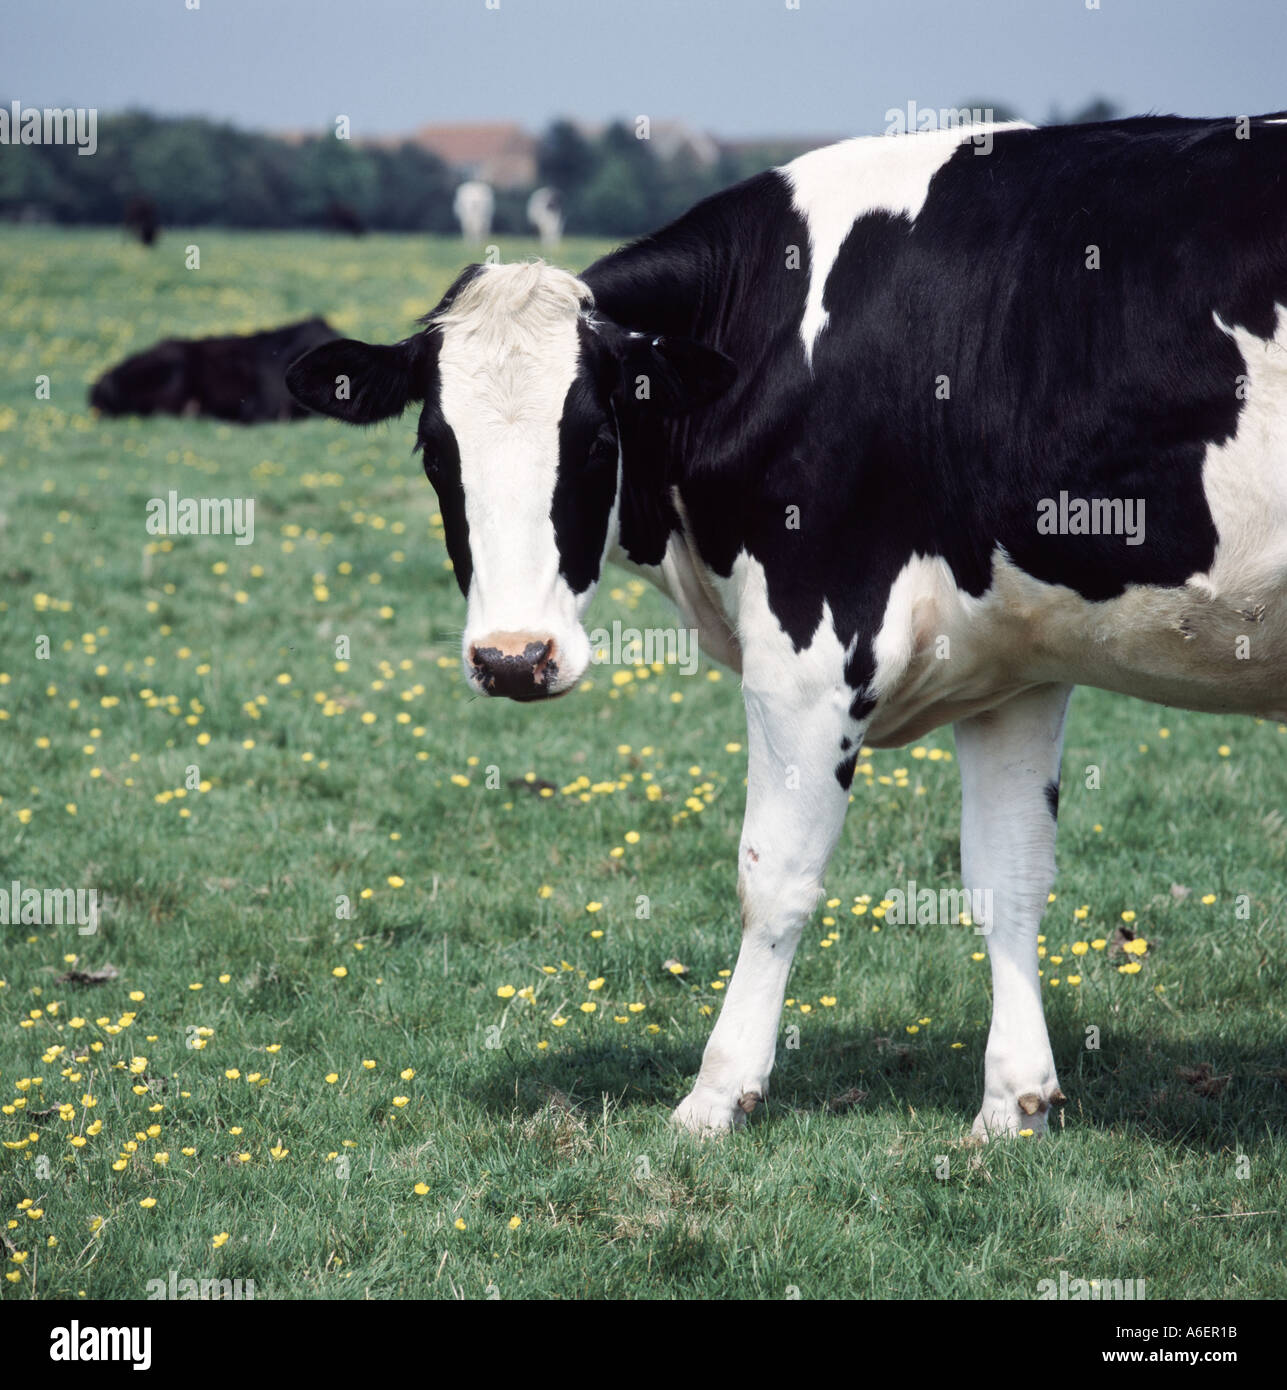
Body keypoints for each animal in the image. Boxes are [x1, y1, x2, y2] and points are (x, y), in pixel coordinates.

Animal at [286, 115, 1287, 1139]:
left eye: (596, 439)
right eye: (433, 449)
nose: (514, 659)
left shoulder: (811, 647)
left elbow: (772, 878)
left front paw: (716, 1093)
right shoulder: (1014, 663)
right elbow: (1007, 874)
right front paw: (1013, 1103)